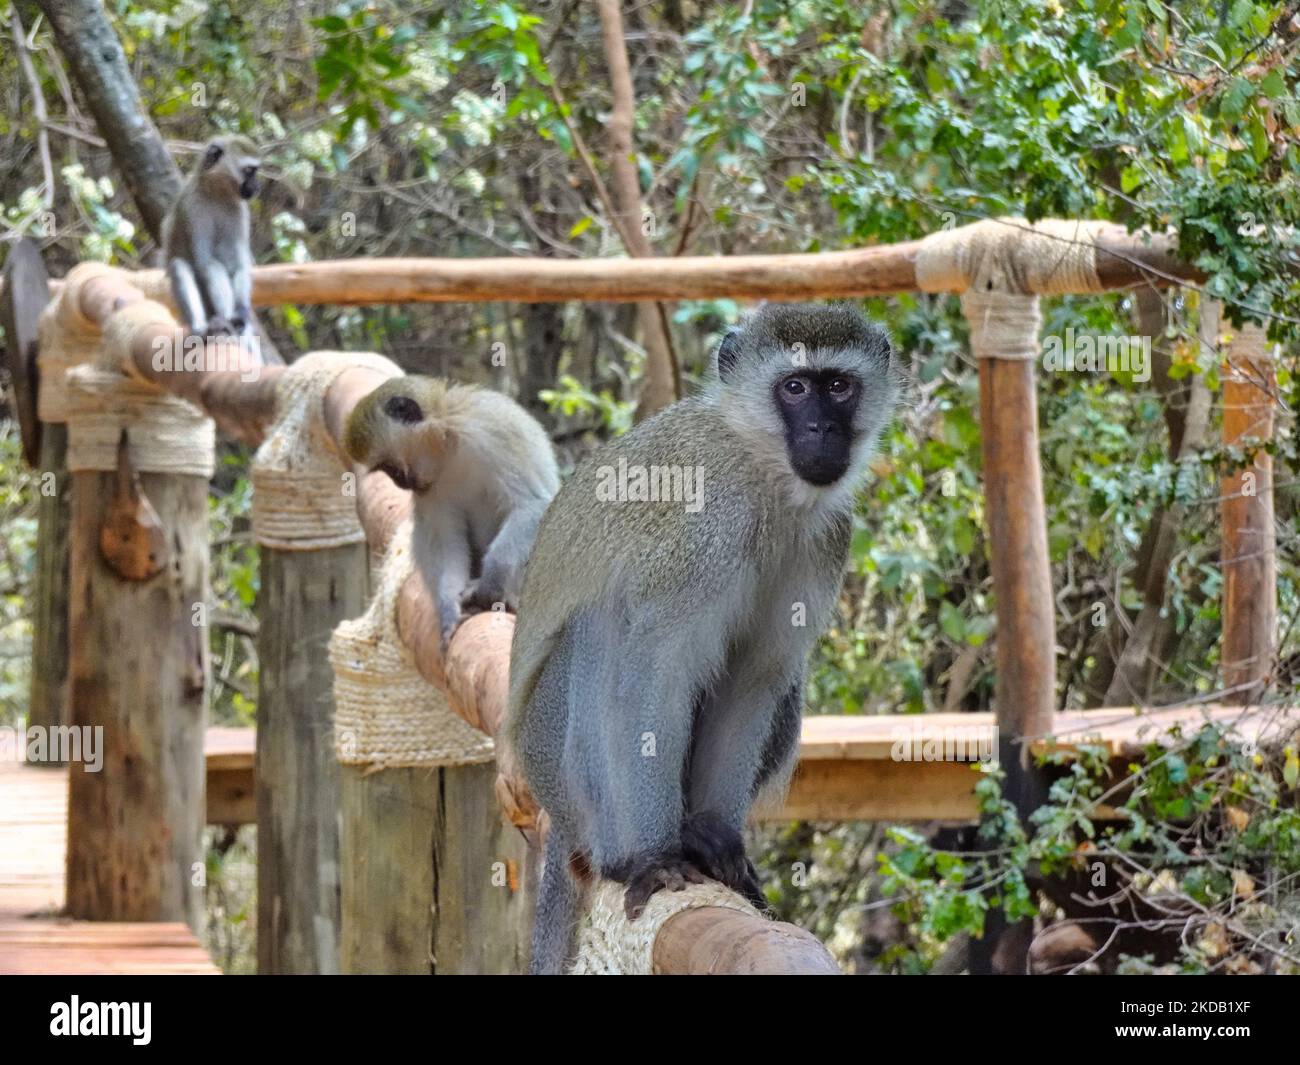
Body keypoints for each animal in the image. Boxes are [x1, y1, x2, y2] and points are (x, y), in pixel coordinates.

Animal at [161, 135, 261, 339]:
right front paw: (228, 319)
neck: (217, 193)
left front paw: (241, 312)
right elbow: (206, 263)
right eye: (249, 171)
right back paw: (203, 327)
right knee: (179, 266)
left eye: (255, 171)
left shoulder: (239, 211)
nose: (257, 186)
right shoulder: (193, 206)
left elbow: (239, 266)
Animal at [344, 375, 561, 646]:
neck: (449, 441)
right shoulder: (430, 486)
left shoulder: (491, 434)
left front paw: (491, 583)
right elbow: (446, 540)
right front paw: (449, 605)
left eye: (389, 468)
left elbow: (532, 505)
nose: (399, 482)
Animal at [505, 303, 901, 974]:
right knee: (607, 626)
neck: (762, 471)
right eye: (795, 388)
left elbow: (756, 675)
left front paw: (716, 838)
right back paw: (626, 855)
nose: (822, 428)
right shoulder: (705, 525)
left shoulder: (829, 538)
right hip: (556, 760)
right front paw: (654, 859)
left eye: (838, 385)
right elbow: (651, 672)